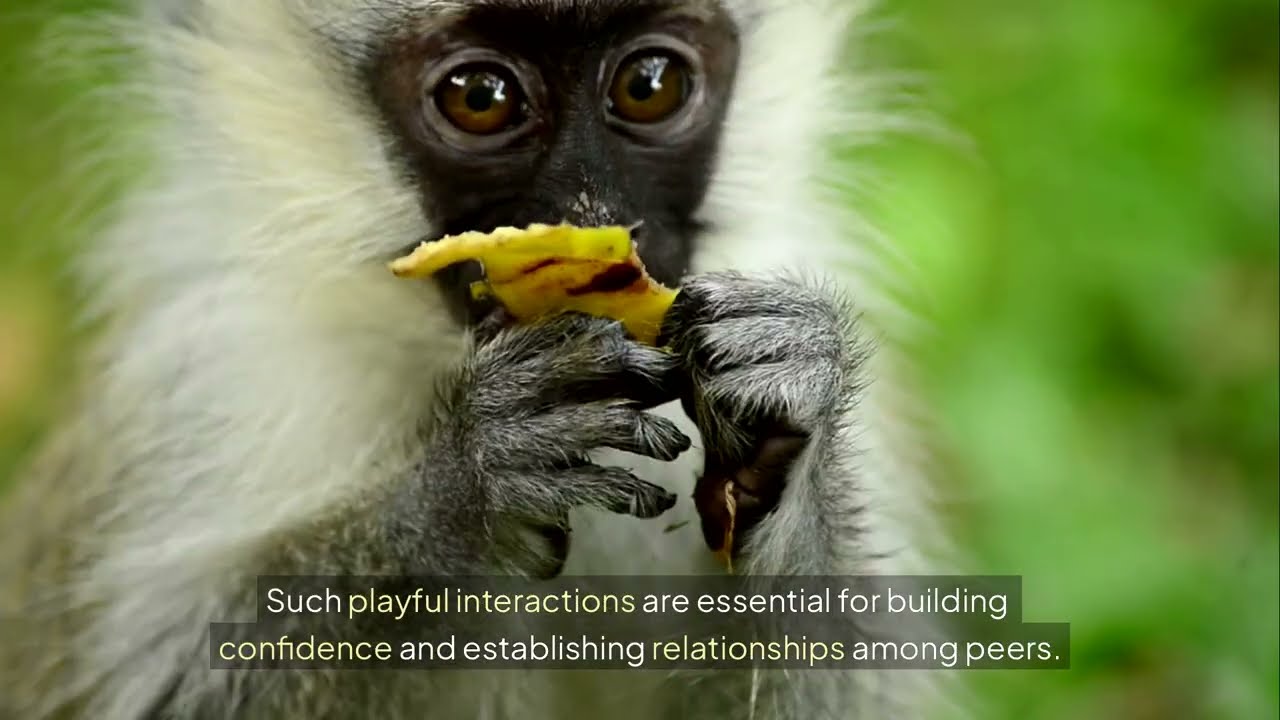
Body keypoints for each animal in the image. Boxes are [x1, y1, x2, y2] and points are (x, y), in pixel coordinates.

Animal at [0, 0, 953, 718]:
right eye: (481, 97)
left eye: (650, 85)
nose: (597, 223)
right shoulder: (209, 381)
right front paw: (465, 493)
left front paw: (786, 427)